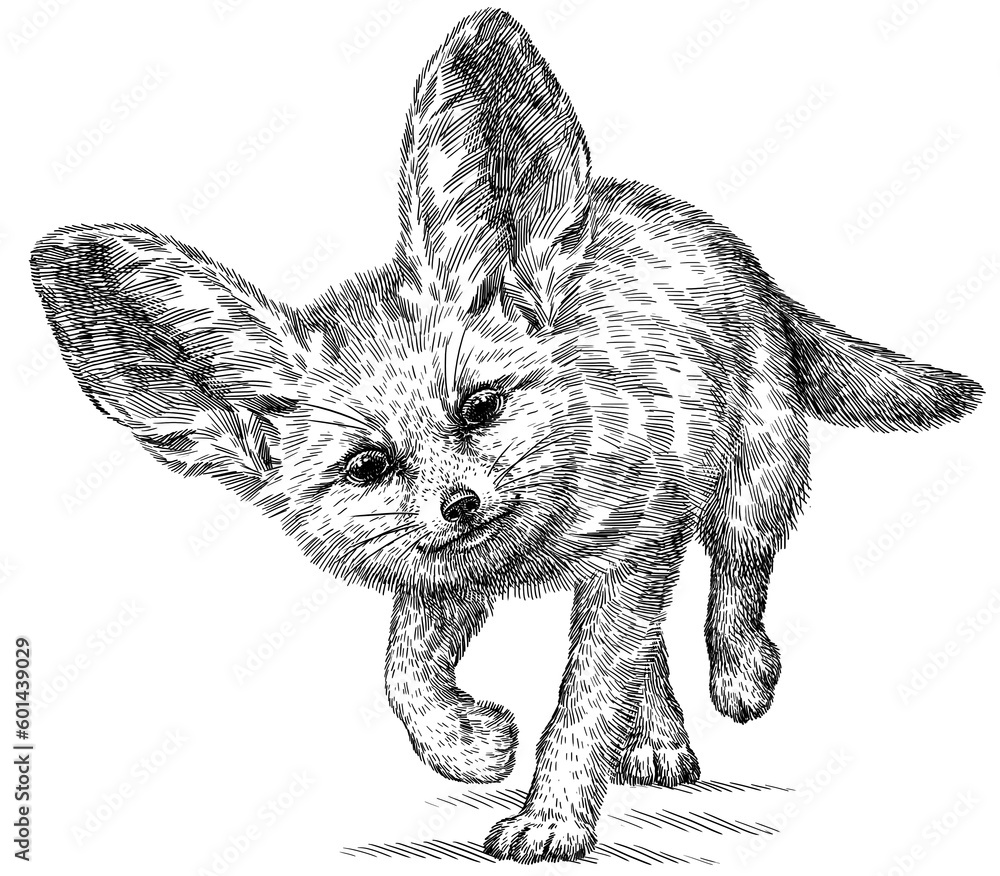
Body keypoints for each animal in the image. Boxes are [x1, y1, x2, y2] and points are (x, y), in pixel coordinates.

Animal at [31, 8, 982, 864]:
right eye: (367, 465)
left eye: (481, 408)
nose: (461, 504)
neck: (534, 547)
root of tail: (713, 236)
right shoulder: (457, 582)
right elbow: (404, 676)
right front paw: (472, 744)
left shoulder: (629, 556)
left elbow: (583, 704)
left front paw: (553, 819)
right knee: (657, 642)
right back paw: (660, 738)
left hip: (757, 474)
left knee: (739, 576)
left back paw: (741, 674)